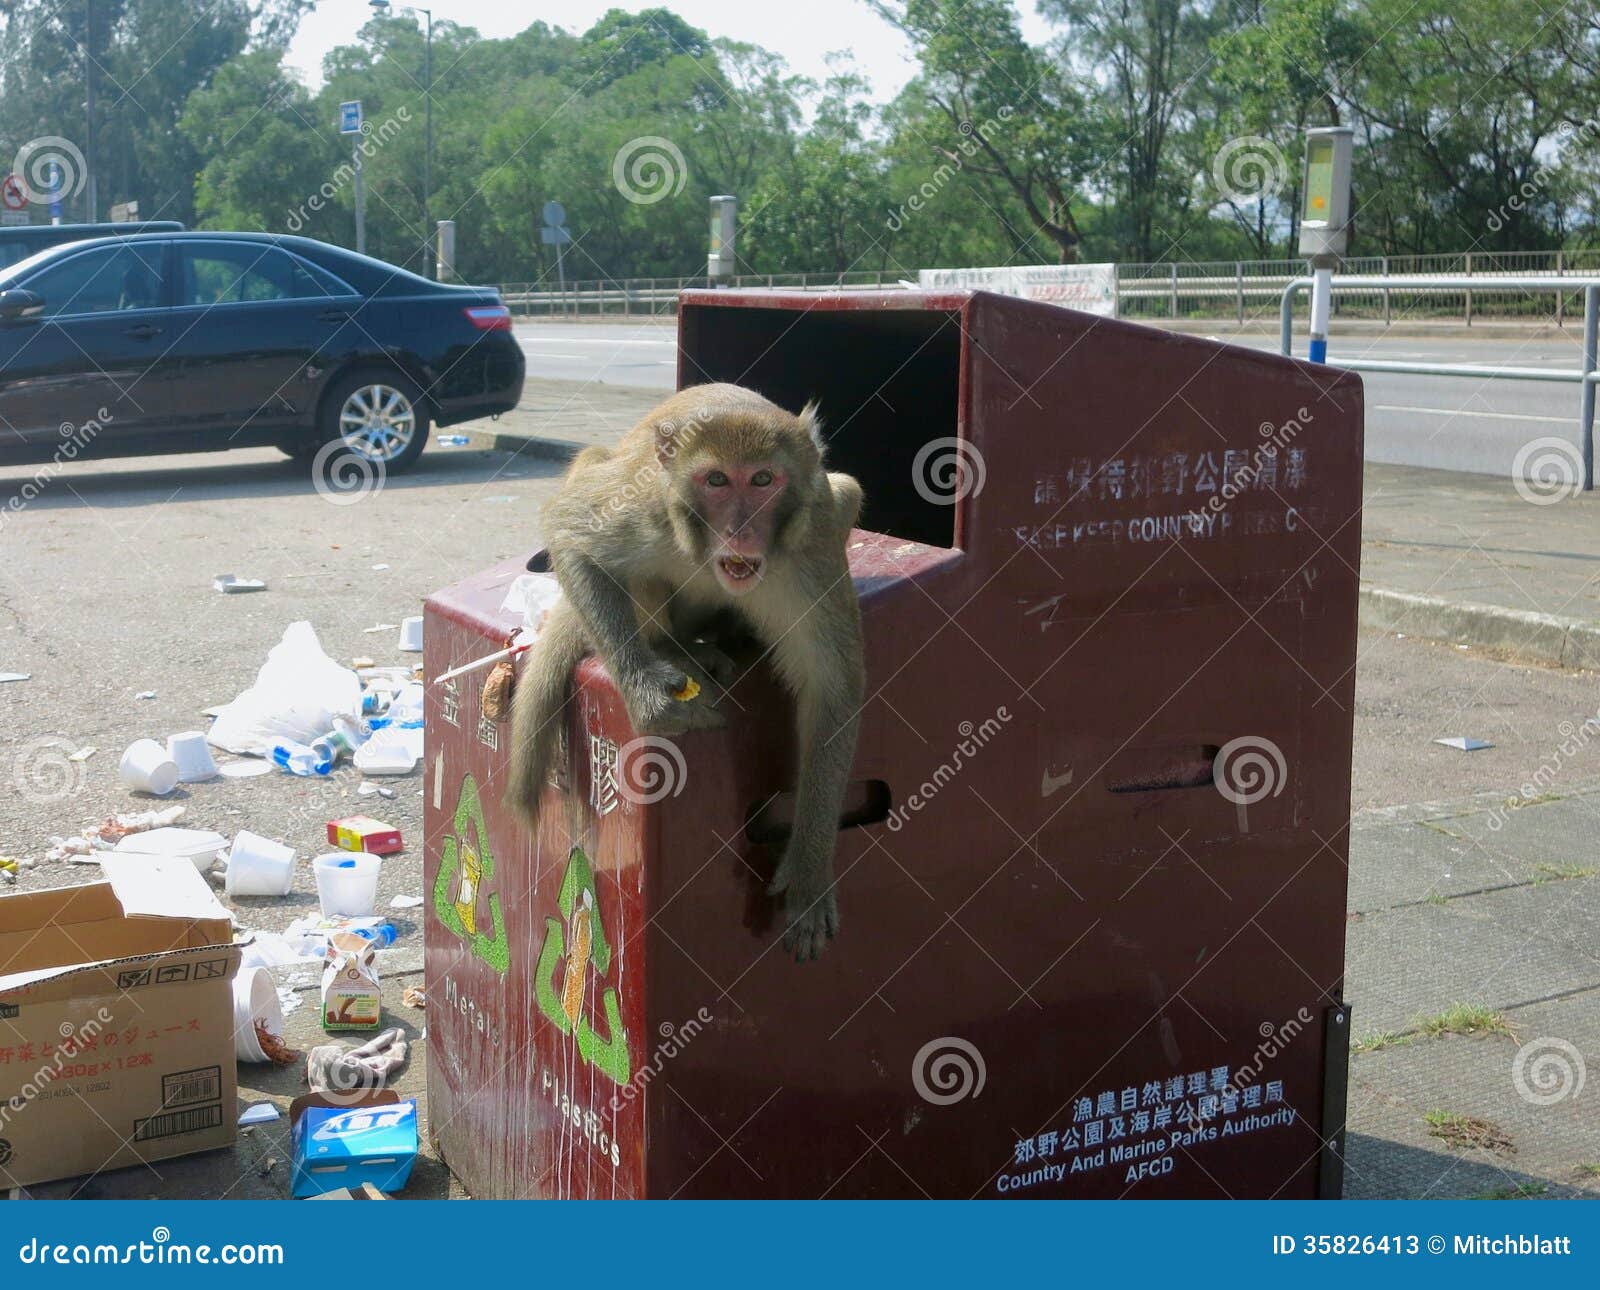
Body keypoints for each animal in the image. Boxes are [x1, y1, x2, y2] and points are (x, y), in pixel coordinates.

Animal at [506, 383, 865, 961]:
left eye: (762, 480)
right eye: (716, 481)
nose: (740, 530)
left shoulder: (814, 540)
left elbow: (832, 684)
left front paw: (810, 874)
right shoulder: (646, 510)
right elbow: (572, 533)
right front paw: (645, 691)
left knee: (847, 488)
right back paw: (674, 647)